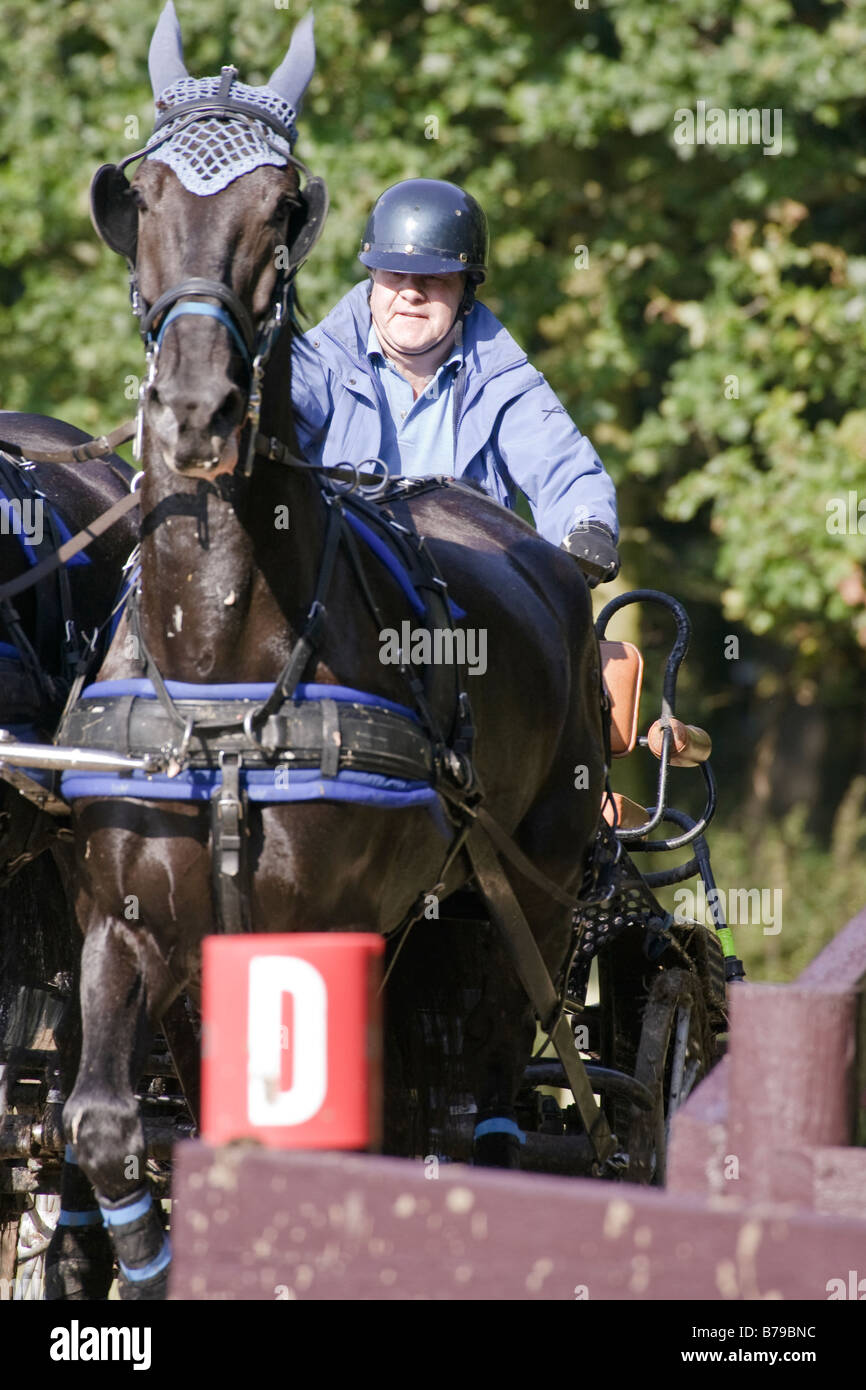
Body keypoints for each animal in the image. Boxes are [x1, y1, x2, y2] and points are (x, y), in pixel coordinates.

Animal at [53, 4, 607, 1301]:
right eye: (141, 196)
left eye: (280, 207)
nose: (195, 413)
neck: (218, 669)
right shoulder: (128, 925)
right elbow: (109, 1126)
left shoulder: (328, 939)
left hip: (527, 897)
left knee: (471, 1104)